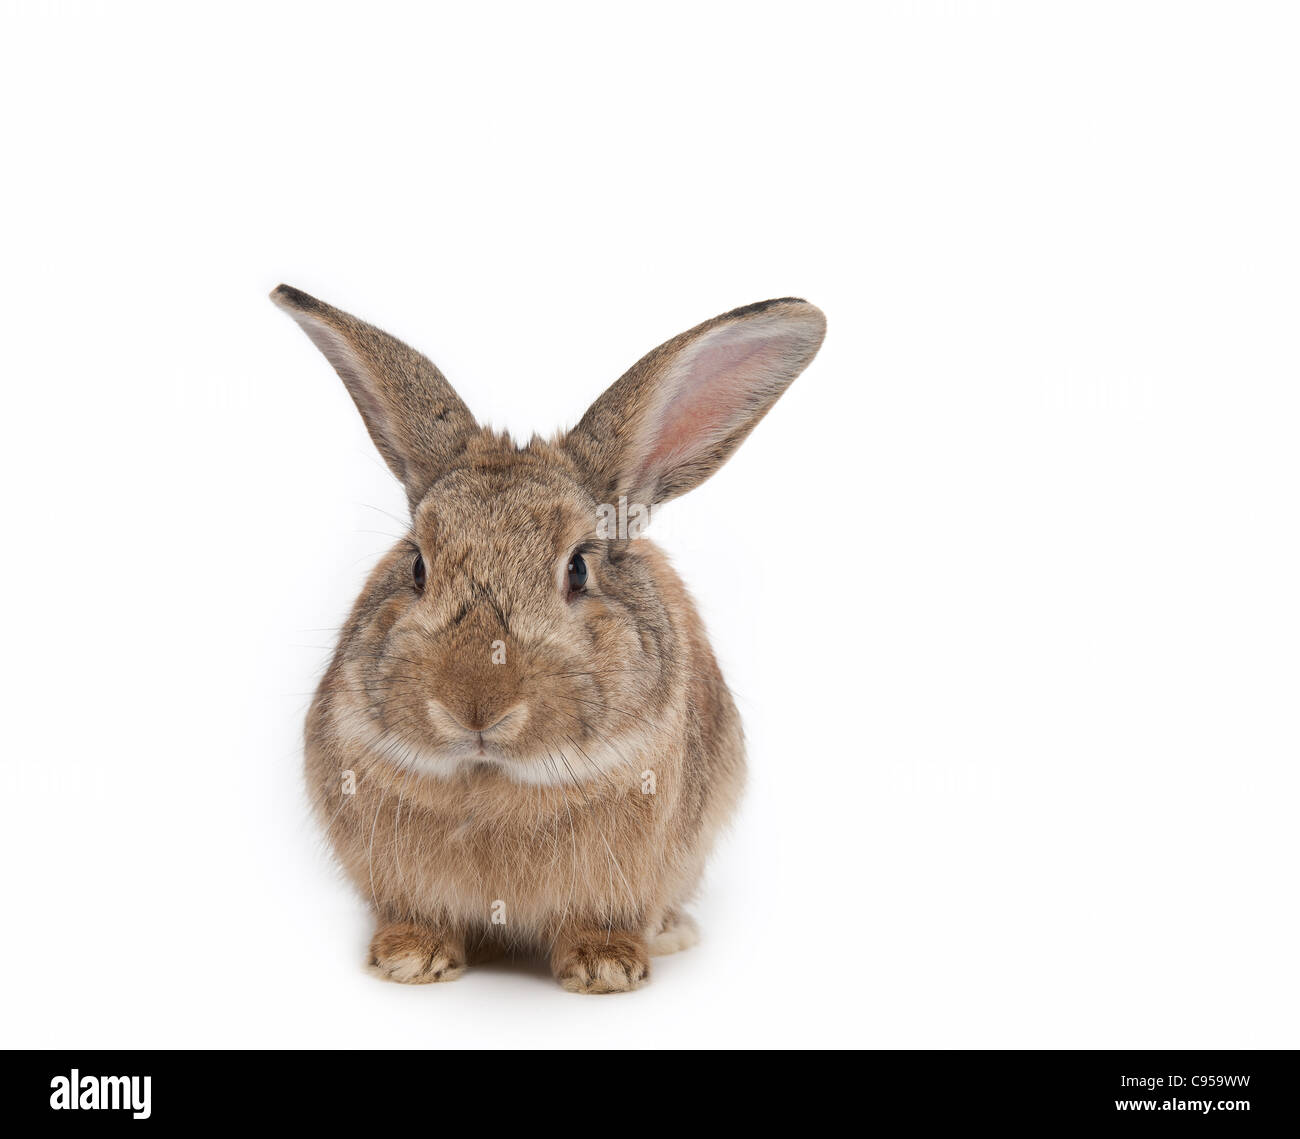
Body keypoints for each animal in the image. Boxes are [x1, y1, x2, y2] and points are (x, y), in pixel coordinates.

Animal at [273, 284, 825, 993]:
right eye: (417, 566)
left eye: (578, 569)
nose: (475, 707)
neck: (493, 776)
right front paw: (409, 960)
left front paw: (605, 969)